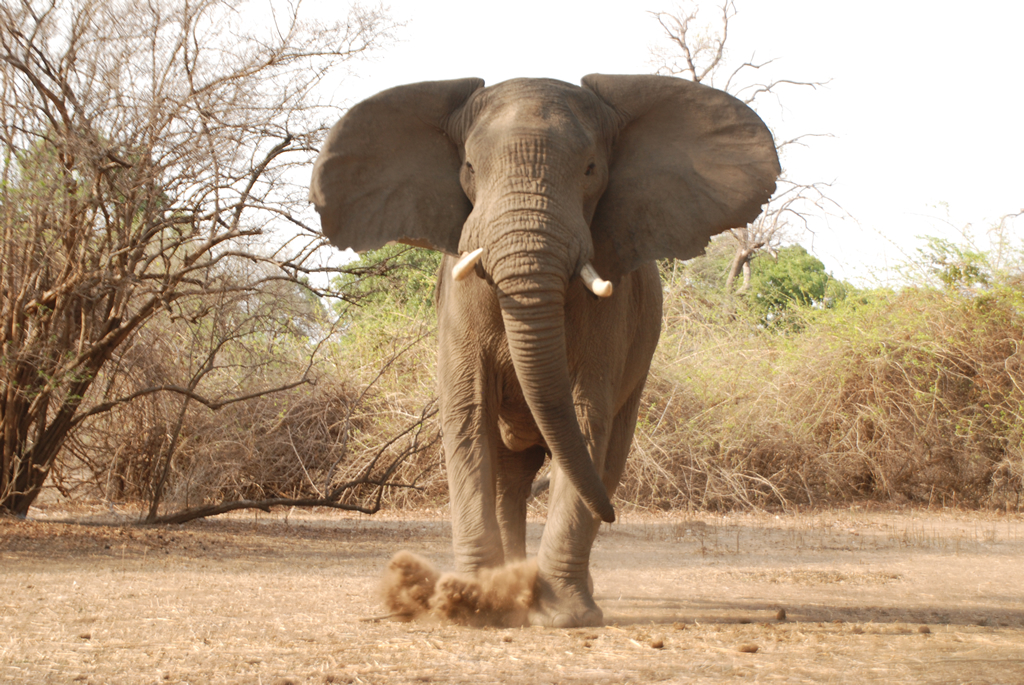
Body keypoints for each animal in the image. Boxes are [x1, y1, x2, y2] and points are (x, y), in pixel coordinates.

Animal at [309, 74, 780, 627]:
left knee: (602, 453)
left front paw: (563, 616)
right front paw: (471, 605)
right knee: (510, 478)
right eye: (469, 169)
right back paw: (508, 585)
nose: (614, 516)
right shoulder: (458, 300)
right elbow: (466, 413)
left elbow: (587, 415)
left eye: (592, 170)